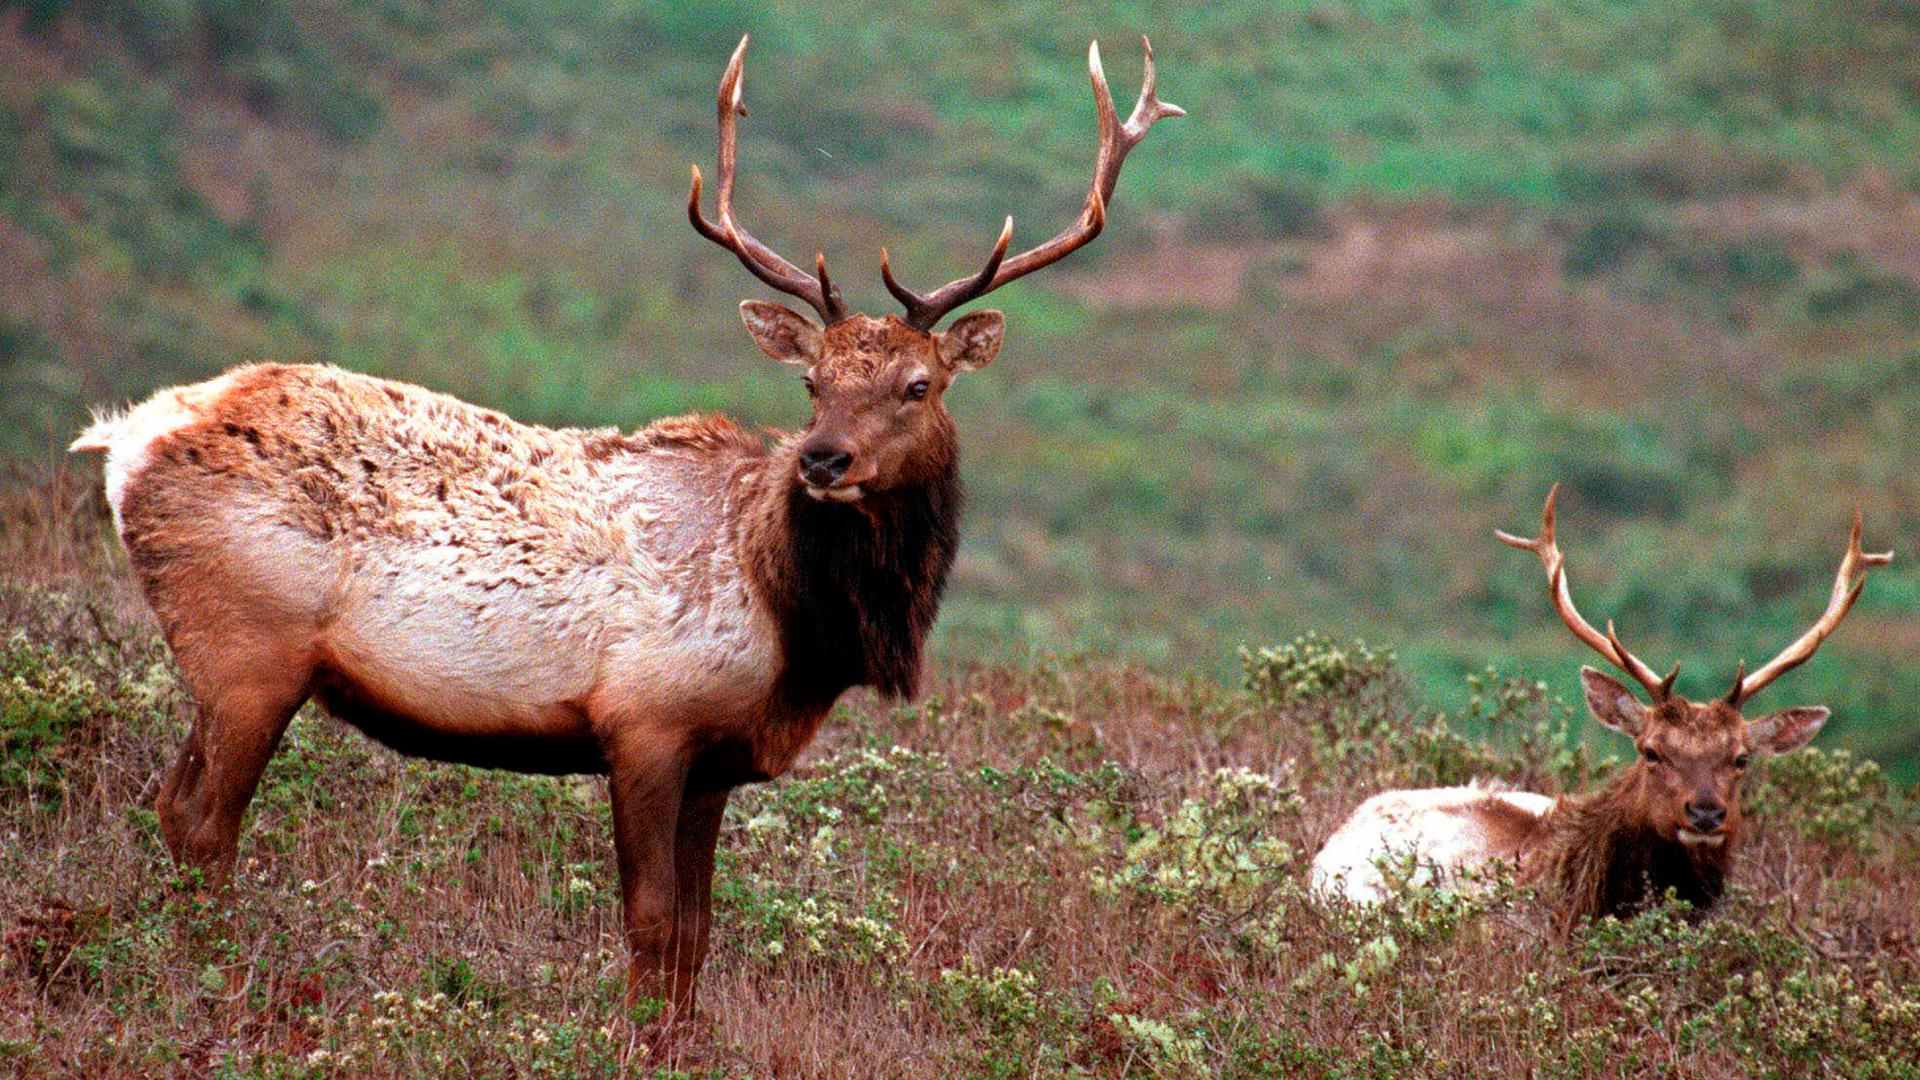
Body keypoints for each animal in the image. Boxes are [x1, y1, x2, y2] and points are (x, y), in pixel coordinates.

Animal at [66, 35, 1182, 1015]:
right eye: (813, 384)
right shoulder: (645, 720)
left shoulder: (718, 756)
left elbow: (697, 934)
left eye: (917, 386)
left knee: (174, 807)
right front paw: (634, 1037)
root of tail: (129, 438)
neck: (793, 623)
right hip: (248, 646)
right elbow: (649, 924)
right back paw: (206, 985)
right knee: (202, 820)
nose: (823, 460)